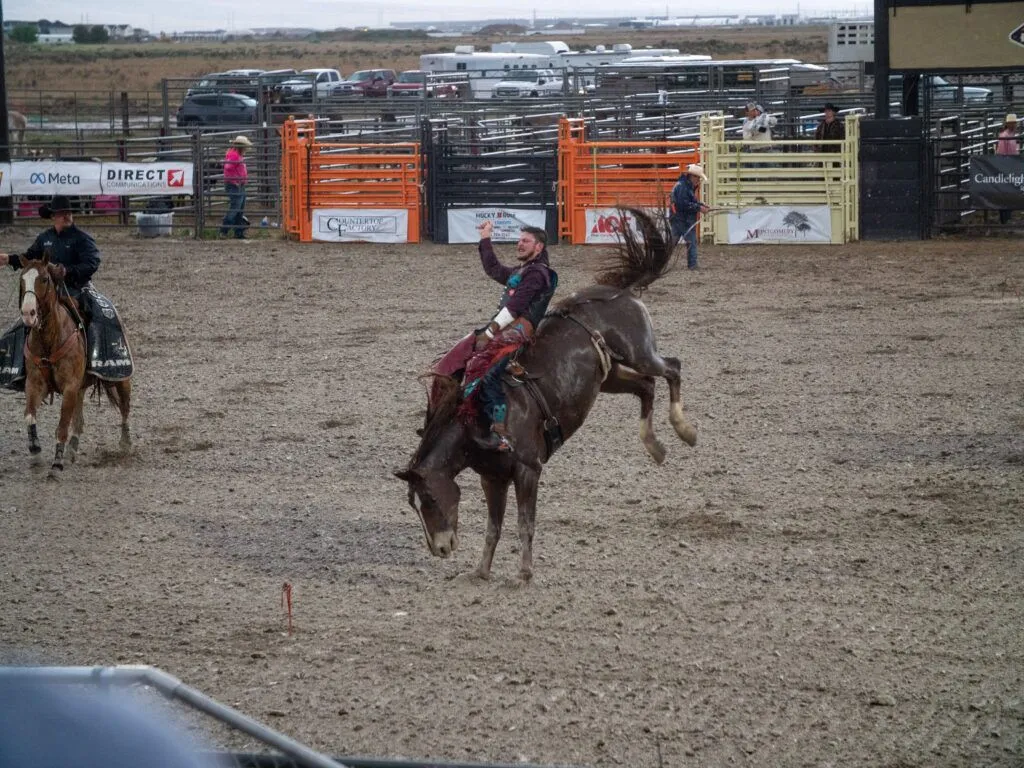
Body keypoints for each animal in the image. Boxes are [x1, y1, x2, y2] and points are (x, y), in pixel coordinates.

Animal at [18, 254, 132, 477]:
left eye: (44, 279)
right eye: (22, 279)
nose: (28, 313)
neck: (50, 339)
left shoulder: (69, 387)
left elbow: (62, 426)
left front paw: (56, 464)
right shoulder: (35, 384)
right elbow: (29, 416)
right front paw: (35, 452)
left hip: (122, 377)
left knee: (125, 407)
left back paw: (125, 442)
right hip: (80, 387)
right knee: (78, 419)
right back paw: (72, 446)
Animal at [396, 209, 697, 582]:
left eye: (431, 499)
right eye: (414, 503)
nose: (439, 548)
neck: (474, 424)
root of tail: (616, 291)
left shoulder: (528, 470)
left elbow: (525, 523)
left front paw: (524, 572)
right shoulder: (492, 478)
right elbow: (494, 527)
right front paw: (482, 570)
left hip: (640, 351)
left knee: (672, 368)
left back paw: (685, 429)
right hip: (610, 376)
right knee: (646, 387)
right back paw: (654, 446)